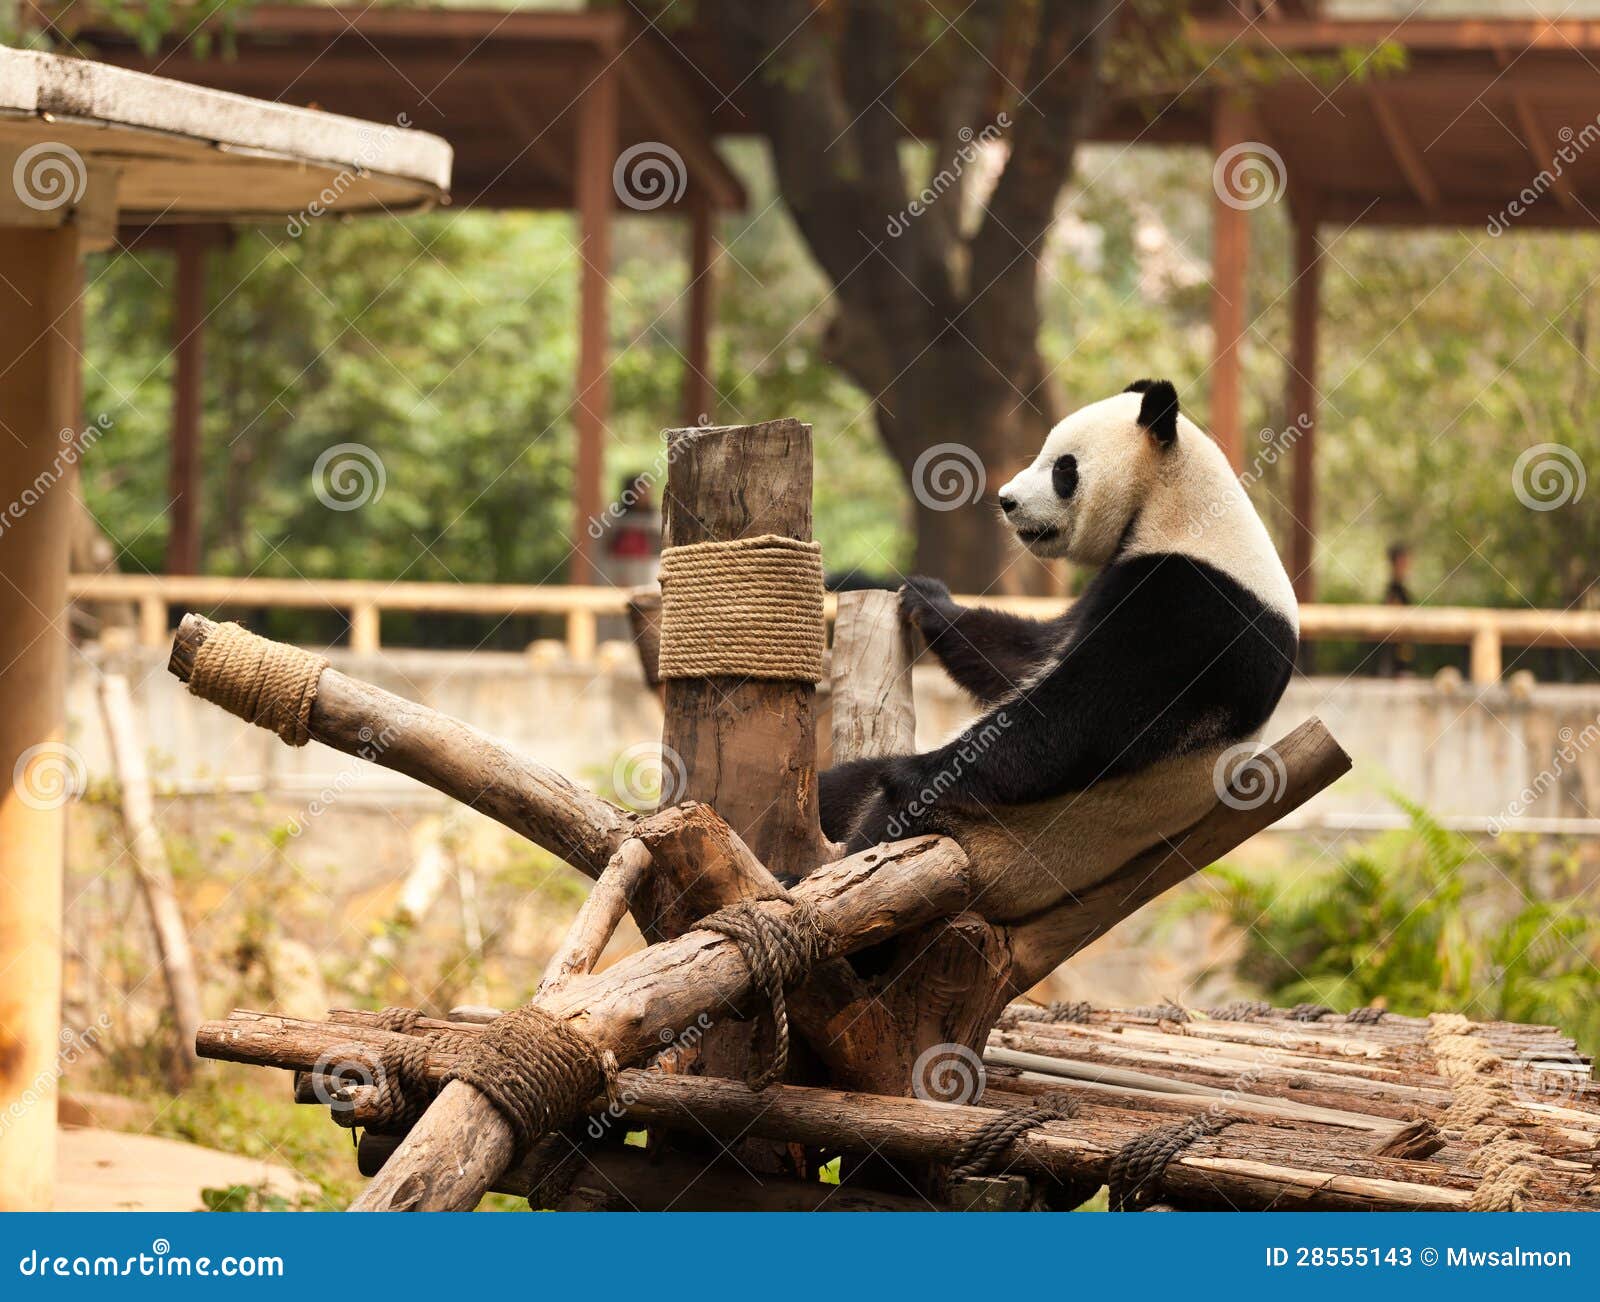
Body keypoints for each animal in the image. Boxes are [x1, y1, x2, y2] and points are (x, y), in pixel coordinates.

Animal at [818, 379, 1299, 924]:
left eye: (1063, 468)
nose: (1006, 500)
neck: (1182, 508)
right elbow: (1028, 655)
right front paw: (925, 599)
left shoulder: (1196, 607)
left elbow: (1080, 718)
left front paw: (914, 771)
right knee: (841, 786)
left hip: (994, 844)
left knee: (893, 819)